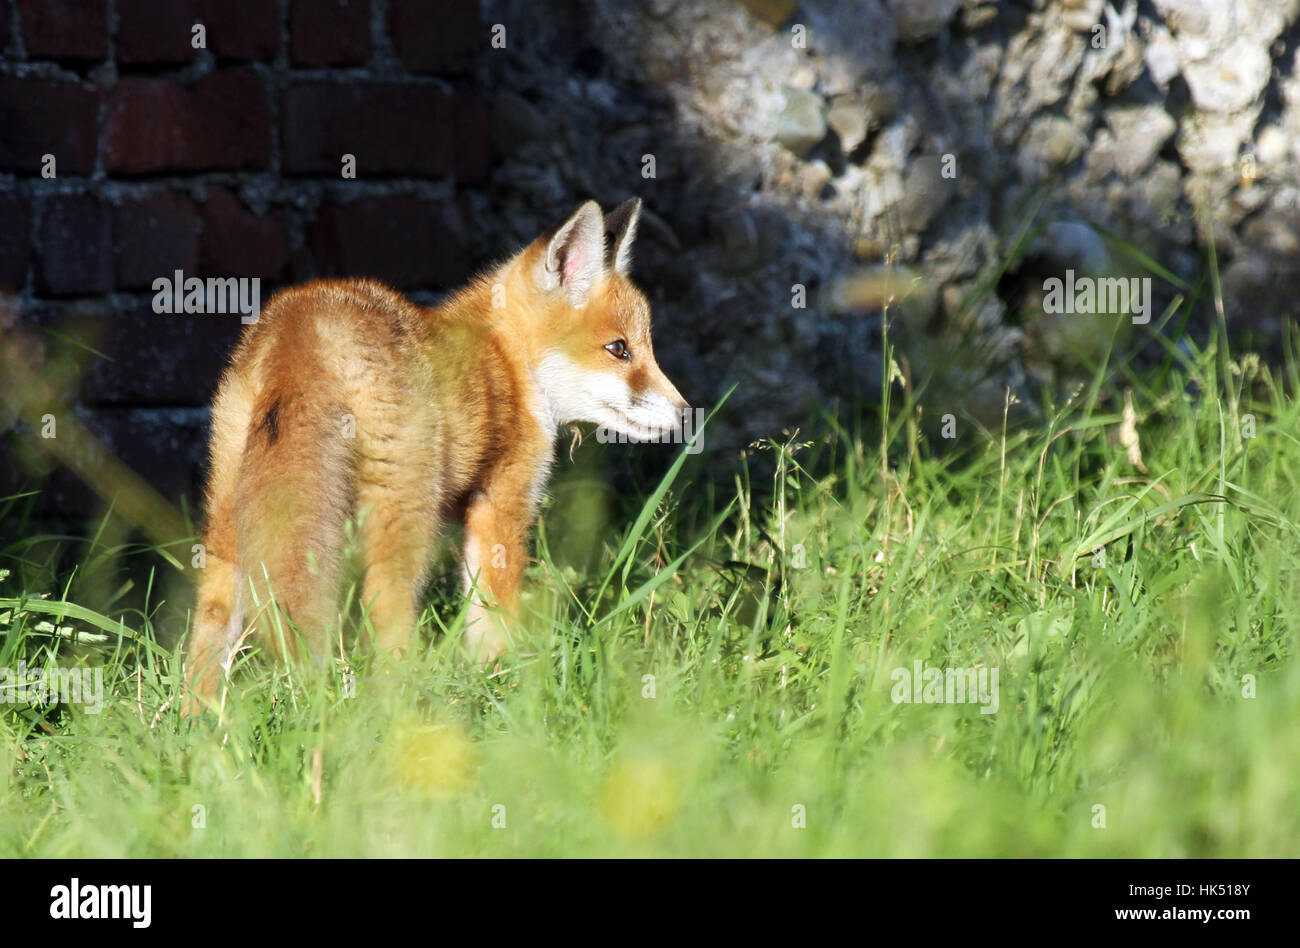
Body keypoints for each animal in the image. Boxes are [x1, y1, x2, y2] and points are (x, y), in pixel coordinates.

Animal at [183, 198, 689, 713]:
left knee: (211, 618)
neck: (509, 361)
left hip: (228, 514)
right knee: (385, 611)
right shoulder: (503, 500)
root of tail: (302, 325)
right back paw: (403, 709)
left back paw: (198, 723)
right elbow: (494, 613)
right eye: (618, 349)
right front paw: (510, 691)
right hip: (405, 517)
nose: (686, 412)